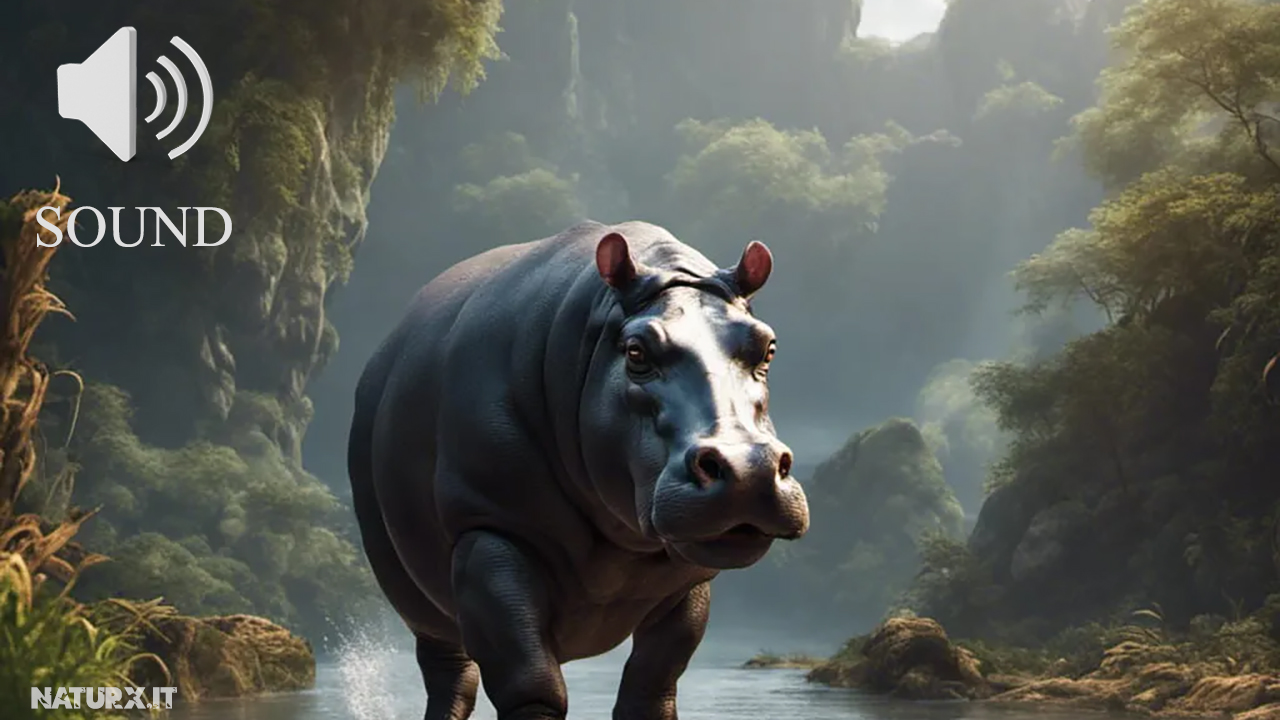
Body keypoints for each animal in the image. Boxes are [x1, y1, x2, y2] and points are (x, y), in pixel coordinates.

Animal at [347, 220, 810, 720]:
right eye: (635, 351)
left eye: (767, 346)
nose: (748, 467)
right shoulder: (489, 529)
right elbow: (532, 685)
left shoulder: (690, 580)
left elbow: (653, 683)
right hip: (421, 605)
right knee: (450, 676)